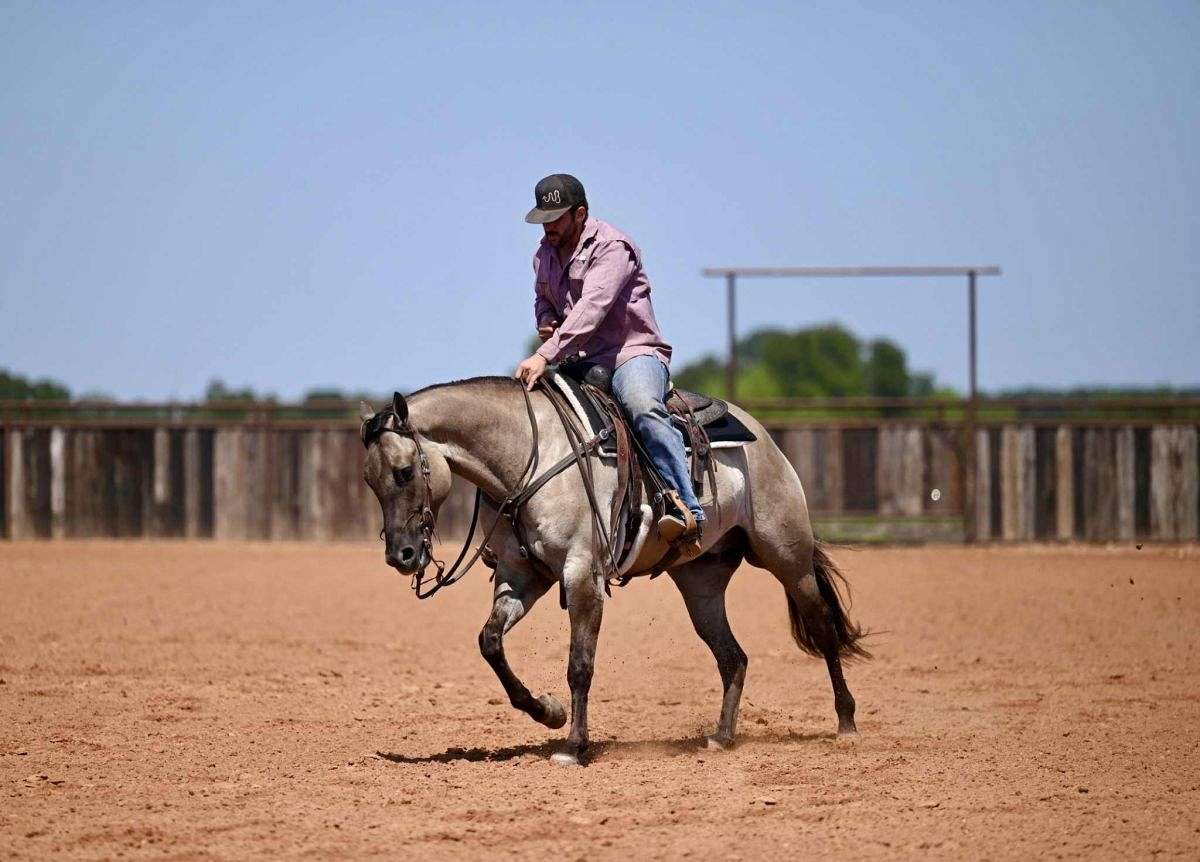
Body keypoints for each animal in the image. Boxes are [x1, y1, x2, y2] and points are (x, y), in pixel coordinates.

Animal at [360, 377, 868, 766]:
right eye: (369, 479)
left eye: (404, 471)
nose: (401, 555)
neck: (528, 457)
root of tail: (764, 439)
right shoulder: (522, 576)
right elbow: (490, 642)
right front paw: (548, 712)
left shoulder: (582, 576)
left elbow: (579, 666)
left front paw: (573, 746)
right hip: (701, 585)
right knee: (733, 657)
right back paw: (722, 736)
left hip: (788, 557)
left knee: (823, 629)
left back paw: (846, 723)